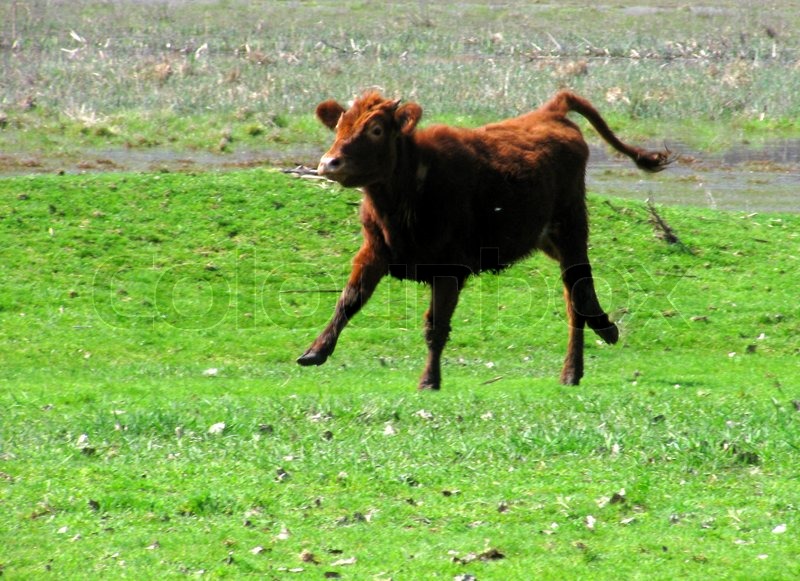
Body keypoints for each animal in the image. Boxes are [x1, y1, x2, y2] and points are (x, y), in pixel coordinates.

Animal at [297, 90, 672, 389]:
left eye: (375, 129)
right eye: (339, 127)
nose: (329, 163)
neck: (410, 190)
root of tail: (550, 112)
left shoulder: (450, 269)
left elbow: (435, 327)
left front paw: (429, 380)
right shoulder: (374, 253)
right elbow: (348, 301)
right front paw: (315, 351)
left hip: (571, 230)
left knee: (575, 296)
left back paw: (572, 370)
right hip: (548, 238)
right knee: (579, 293)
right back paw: (602, 330)